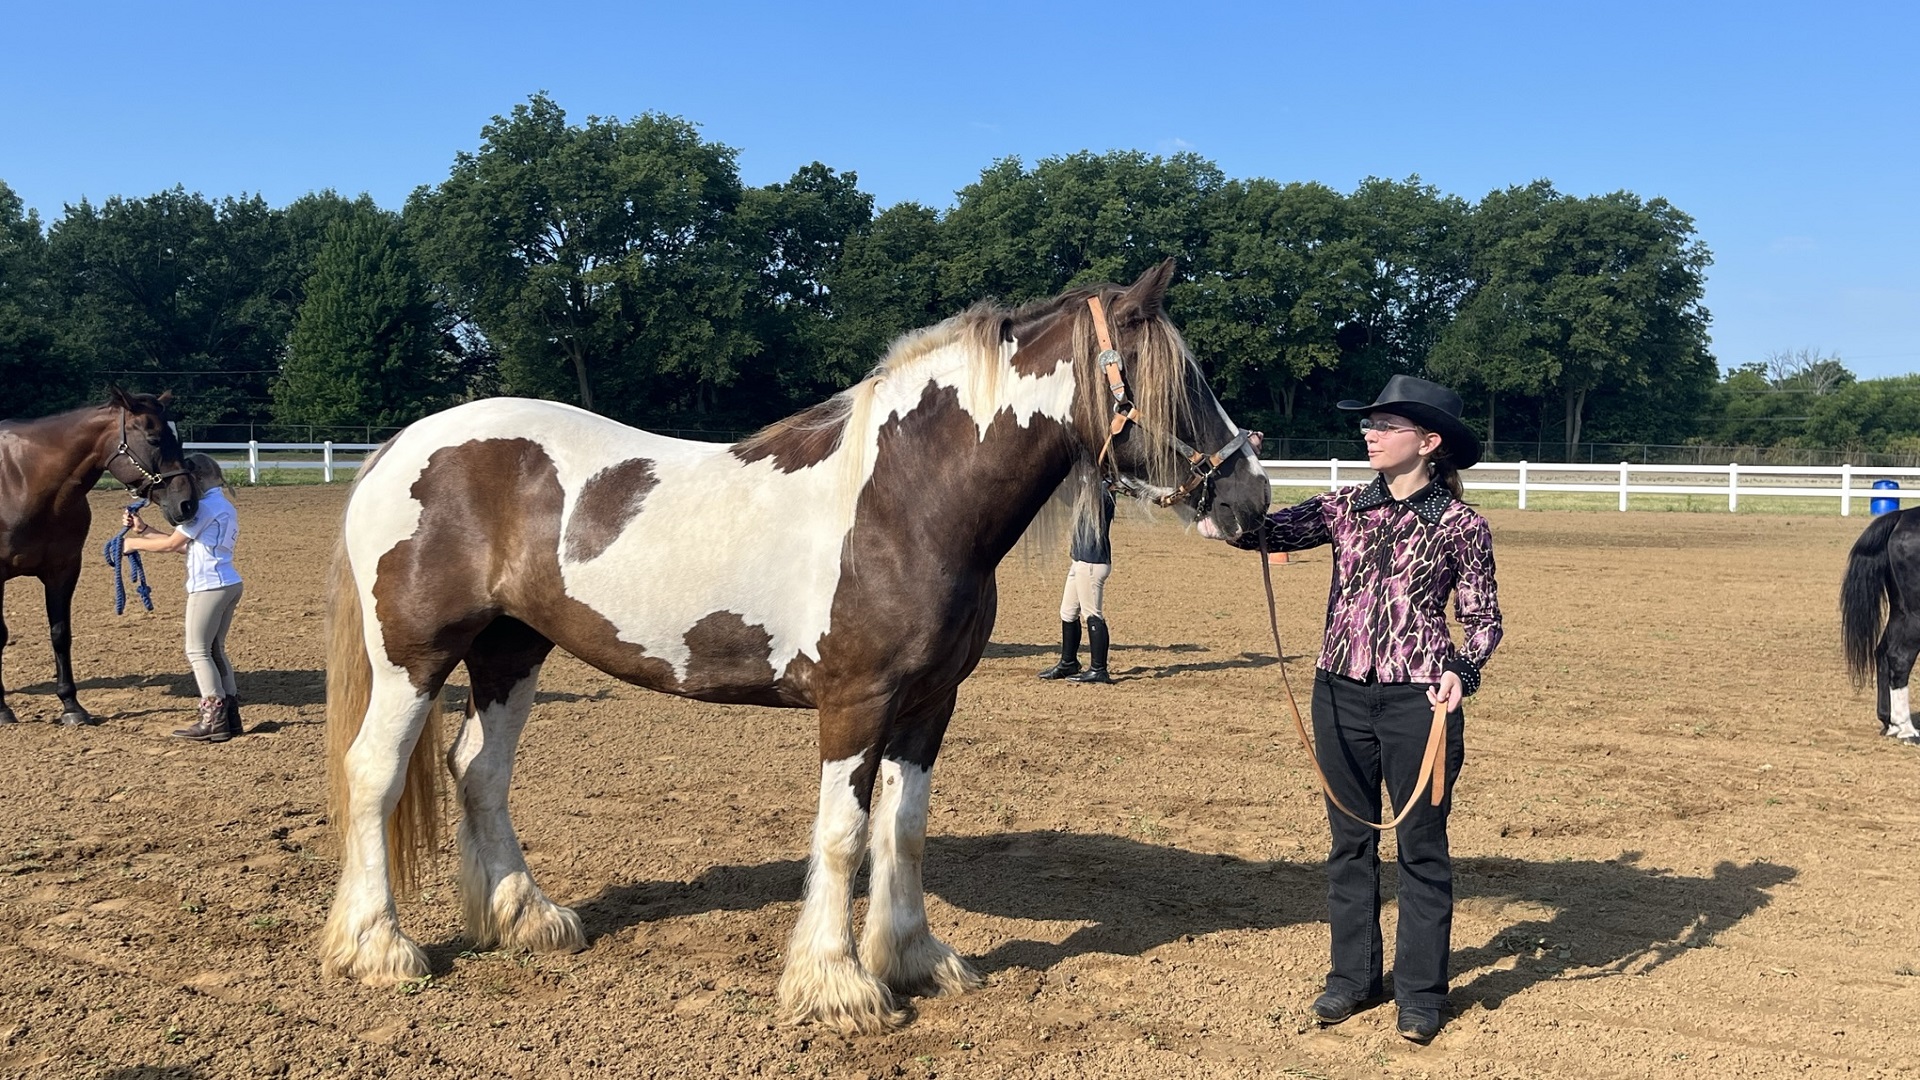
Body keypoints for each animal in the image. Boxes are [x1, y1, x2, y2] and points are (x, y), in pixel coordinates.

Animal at [0, 387, 198, 726]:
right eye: (154, 438)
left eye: (180, 439)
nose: (187, 503)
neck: (23, 481)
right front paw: (2, 709)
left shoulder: (64, 570)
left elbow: (60, 633)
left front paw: (72, 707)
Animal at [320, 260, 1272, 1033]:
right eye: (1176, 380)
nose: (1250, 498)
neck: (905, 500)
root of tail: (399, 447)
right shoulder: (855, 703)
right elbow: (844, 835)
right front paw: (837, 985)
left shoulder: (929, 704)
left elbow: (904, 830)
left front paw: (914, 958)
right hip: (415, 659)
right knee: (374, 773)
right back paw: (379, 948)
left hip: (511, 651)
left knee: (479, 770)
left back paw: (526, 919)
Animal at [1841, 506, 1920, 745]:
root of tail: (1902, 515)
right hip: (1914, 614)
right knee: (1899, 657)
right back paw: (1907, 730)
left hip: (1900, 611)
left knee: (1883, 652)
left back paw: (1892, 723)